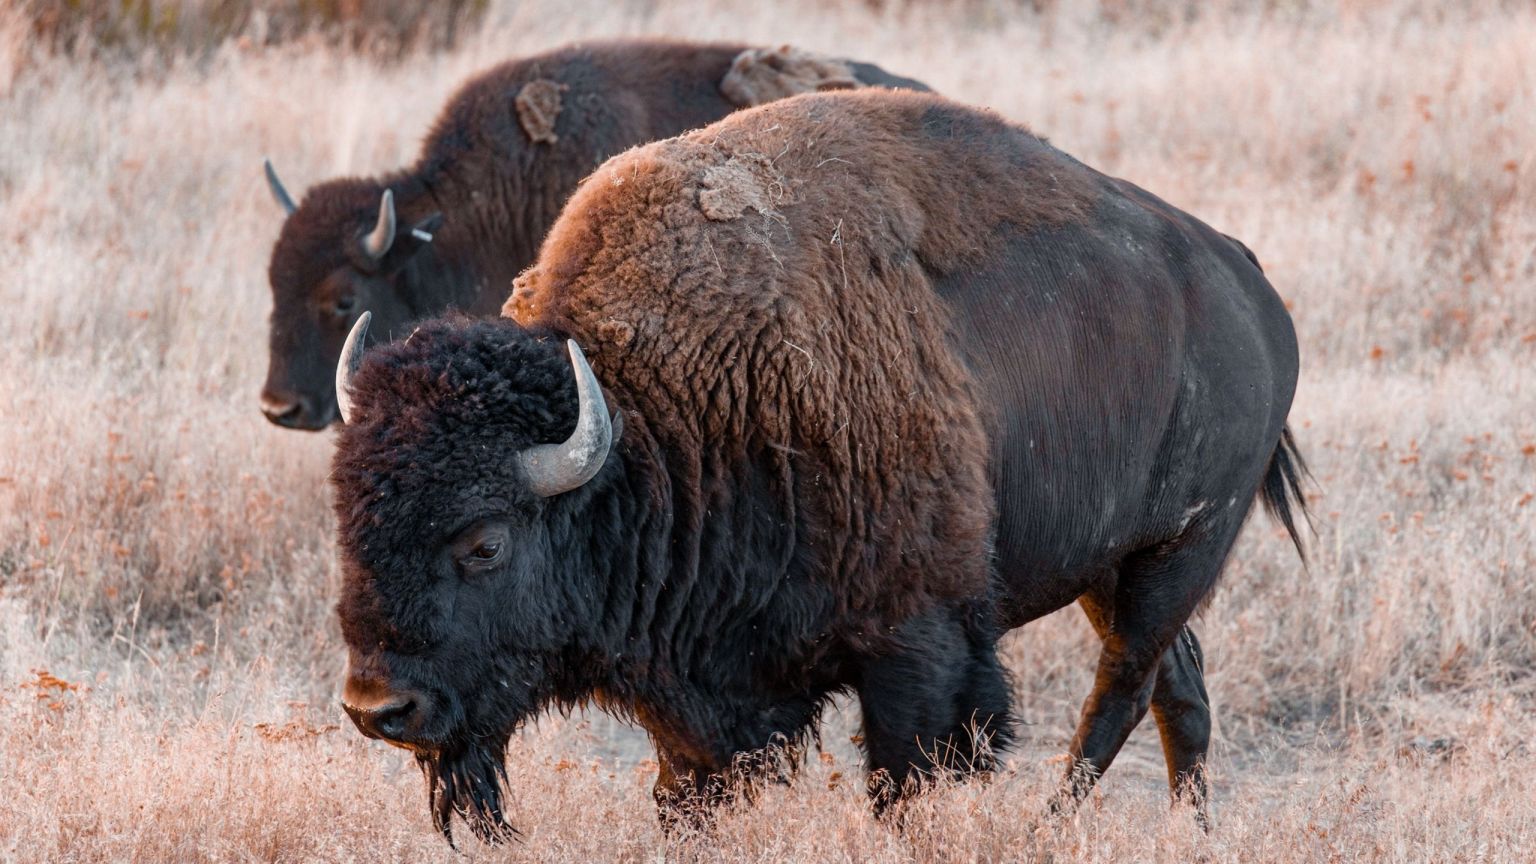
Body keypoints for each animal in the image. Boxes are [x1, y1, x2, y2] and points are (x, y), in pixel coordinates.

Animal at [328, 89, 1308, 842]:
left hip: (1178, 552)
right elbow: (687, 793)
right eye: (348, 521)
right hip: (1114, 566)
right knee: (1179, 690)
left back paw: (1052, 825)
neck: (660, 416)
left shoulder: (920, 650)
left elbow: (906, 783)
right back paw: (1192, 830)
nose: (379, 709)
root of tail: (1248, 281)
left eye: (485, 542)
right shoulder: (701, 702)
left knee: (1123, 690)